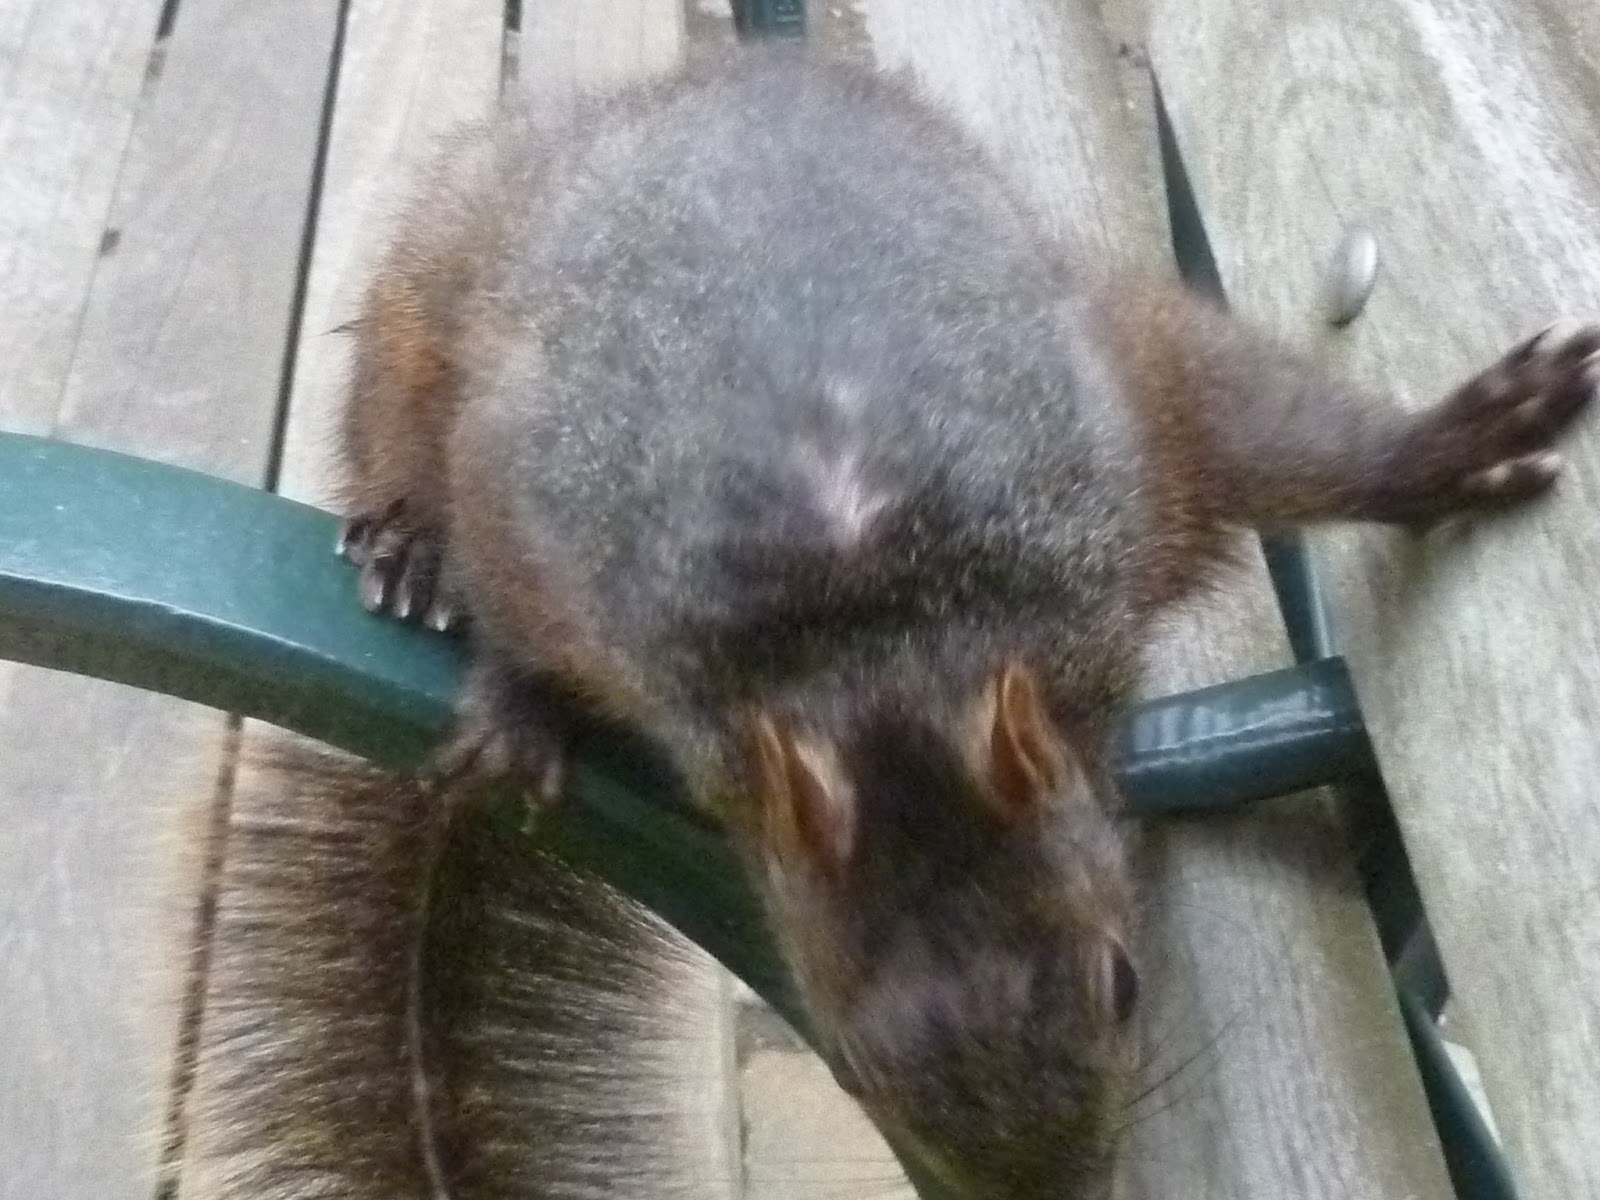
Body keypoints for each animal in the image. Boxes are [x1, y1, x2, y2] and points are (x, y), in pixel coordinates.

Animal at [197, 42, 1599, 1200]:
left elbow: (1260, 422)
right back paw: (405, 544)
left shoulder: (1122, 451)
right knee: (396, 416)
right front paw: (517, 713)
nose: (1052, 1195)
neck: (876, 644)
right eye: (848, 1065)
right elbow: (515, 608)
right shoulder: (542, 523)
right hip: (439, 270)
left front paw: (1454, 441)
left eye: (1124, 983)